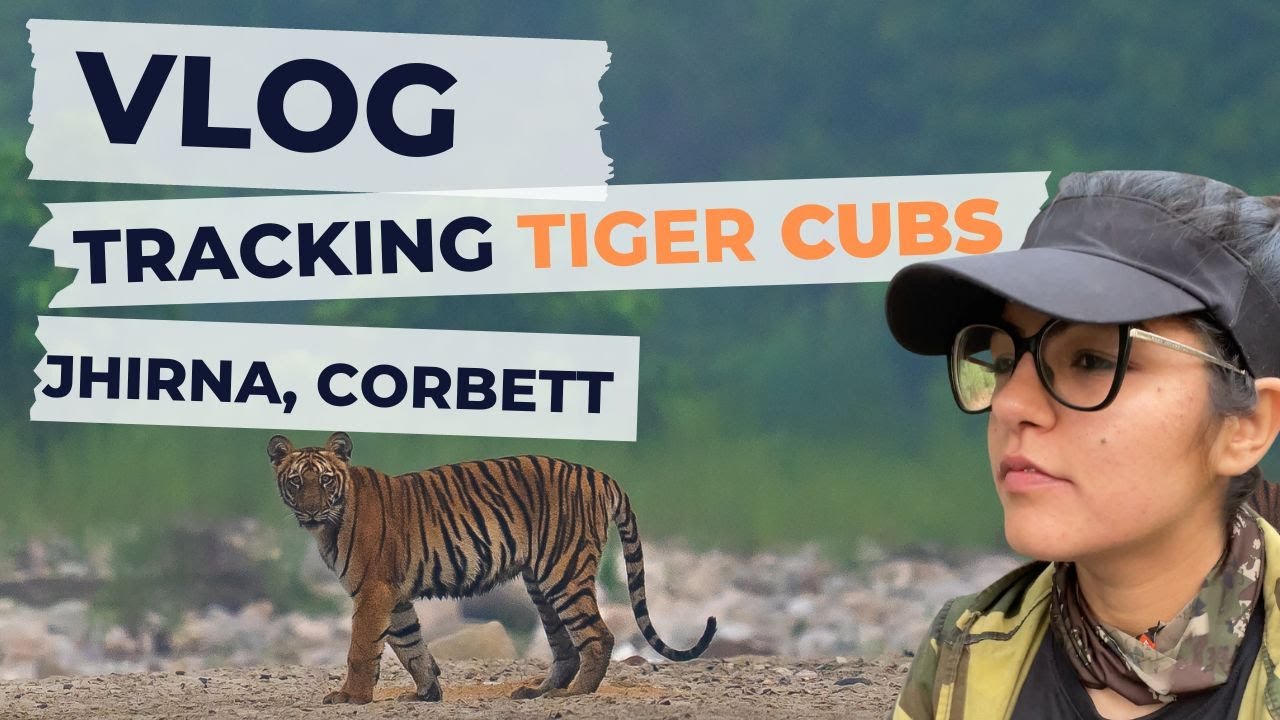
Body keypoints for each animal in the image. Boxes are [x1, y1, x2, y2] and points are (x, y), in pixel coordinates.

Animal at [267, 431, 717, 704]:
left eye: (326, 481)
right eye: (296, 482)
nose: (311, 511)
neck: (330, 524)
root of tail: (598, 474)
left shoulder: (374, 589)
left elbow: (362, 649)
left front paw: (351, 697)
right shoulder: (393, 594)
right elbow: (410, 645)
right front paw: (426, 693)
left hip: (564, 573)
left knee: (598, 636)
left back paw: (574, 694)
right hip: (541, 583)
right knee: (564, 646)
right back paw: (538, 691)